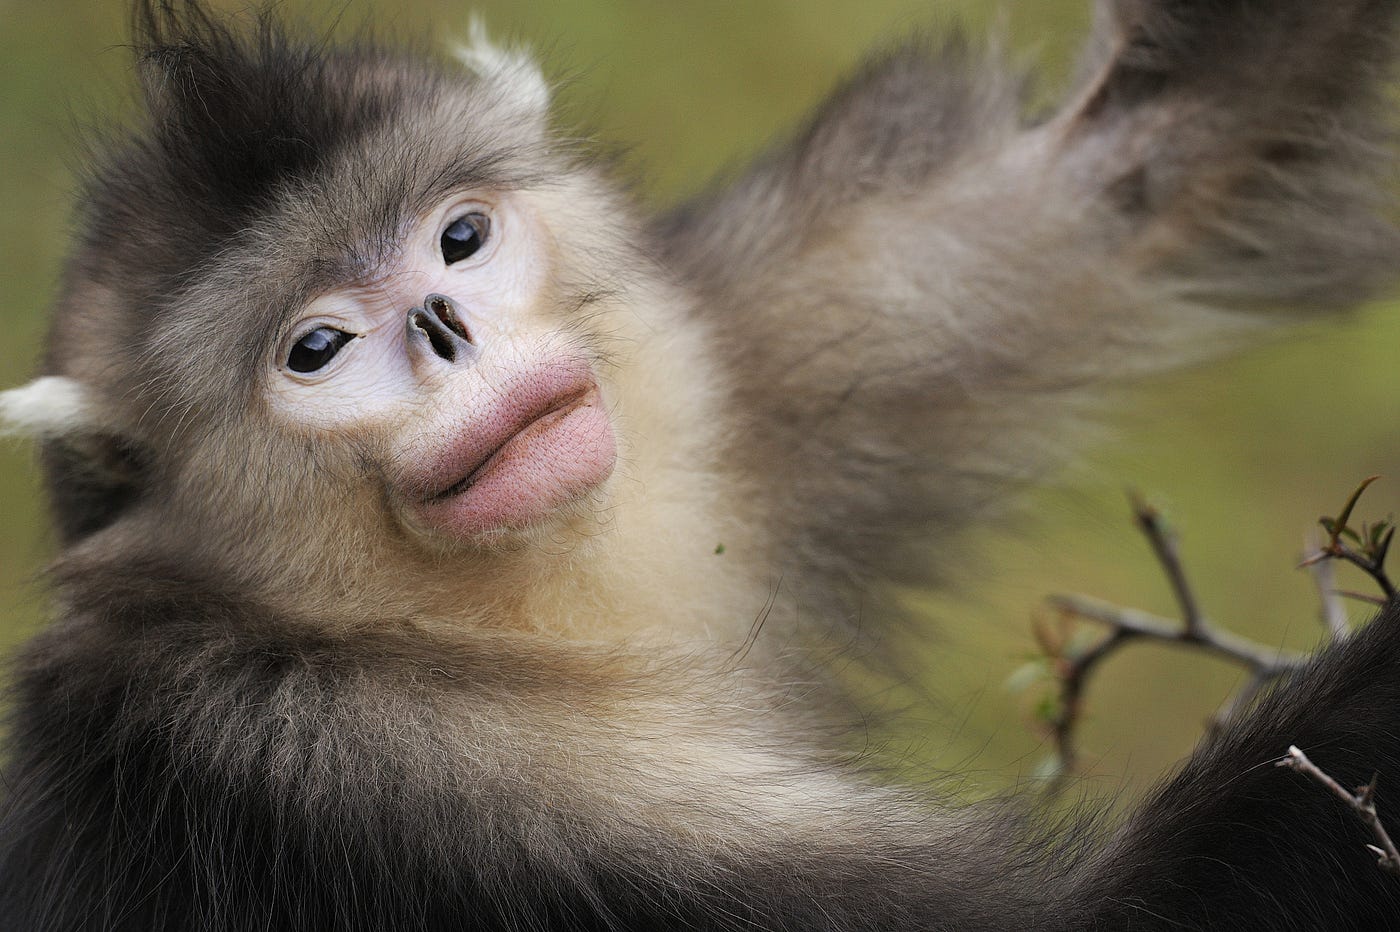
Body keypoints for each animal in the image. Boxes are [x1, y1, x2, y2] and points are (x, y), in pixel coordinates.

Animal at [1, 0, 1399, 929]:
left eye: (460, 238)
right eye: (316, 348)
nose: (450, 331)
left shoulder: (730, 355)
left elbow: (1174, 149)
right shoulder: (351, 755)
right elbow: (1089, 914)